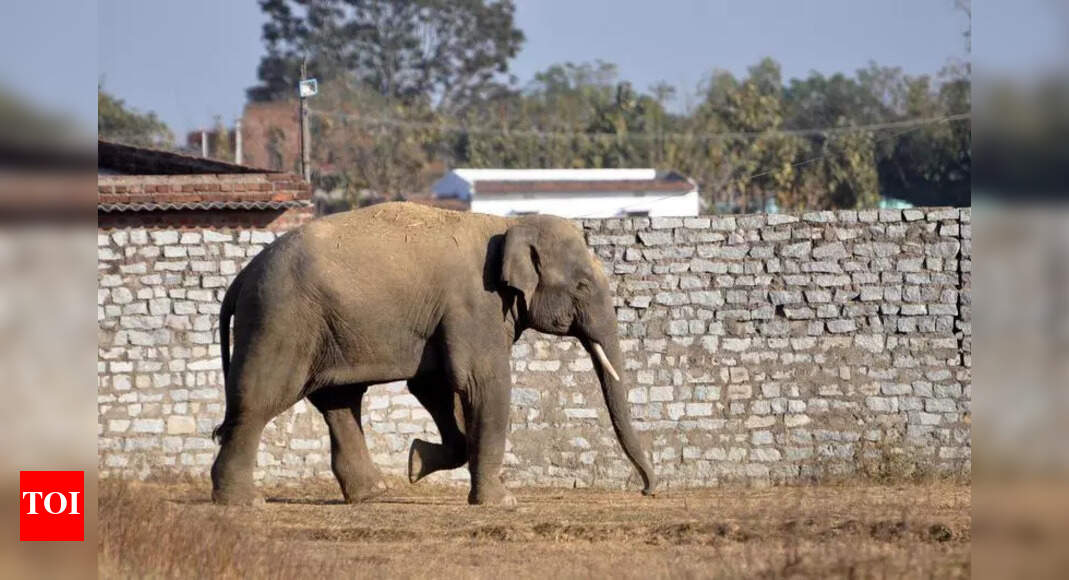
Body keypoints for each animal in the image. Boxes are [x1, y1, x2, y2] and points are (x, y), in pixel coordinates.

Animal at [210, 202, 657, 506]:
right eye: (582, 286)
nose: (647, 490)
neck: (508, 225)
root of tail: (241, 278)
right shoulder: (475, 303)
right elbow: (482, 381)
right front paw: (502, 503)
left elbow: (434, 386)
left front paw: (415, 462)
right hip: (281, 321)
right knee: (260, 401)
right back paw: (244, 503)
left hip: (328, 327)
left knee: (339, 401)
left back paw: (373, 493)